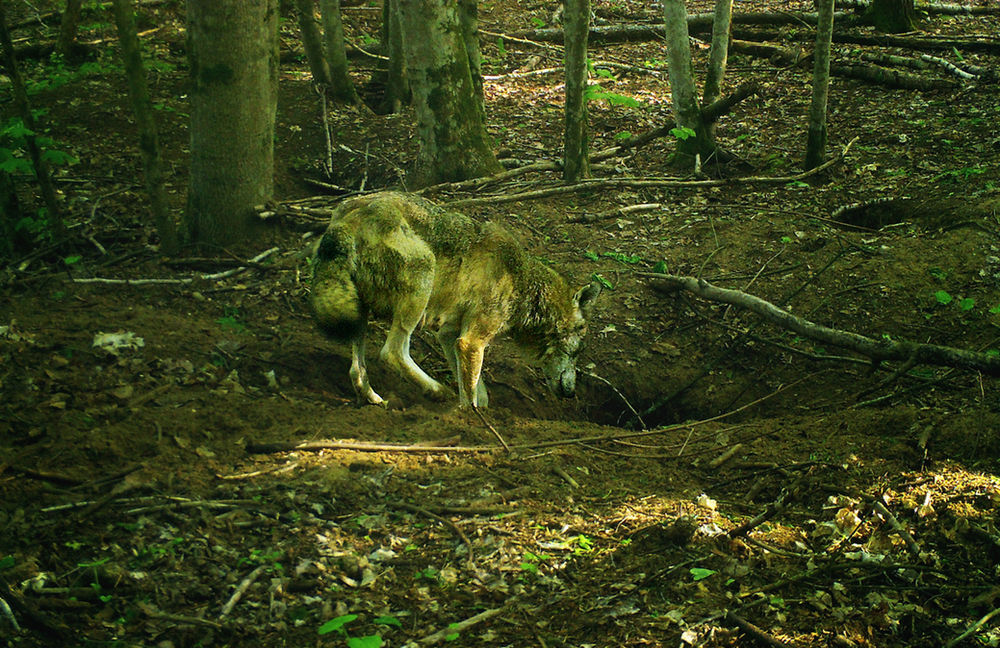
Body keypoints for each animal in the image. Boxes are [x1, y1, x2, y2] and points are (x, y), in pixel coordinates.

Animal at [309, 191, 601, 408]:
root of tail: (347, 215)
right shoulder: (471, 341)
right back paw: (436, 390)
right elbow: (470, 396)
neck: (522, 283)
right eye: (578, 351)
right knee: (391, 352)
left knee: (356, 370)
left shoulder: (449, 336)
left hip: (360, 312)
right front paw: (471, 420)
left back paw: (375, 399)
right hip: (422, 279)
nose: (571, 393)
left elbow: (478, 391)